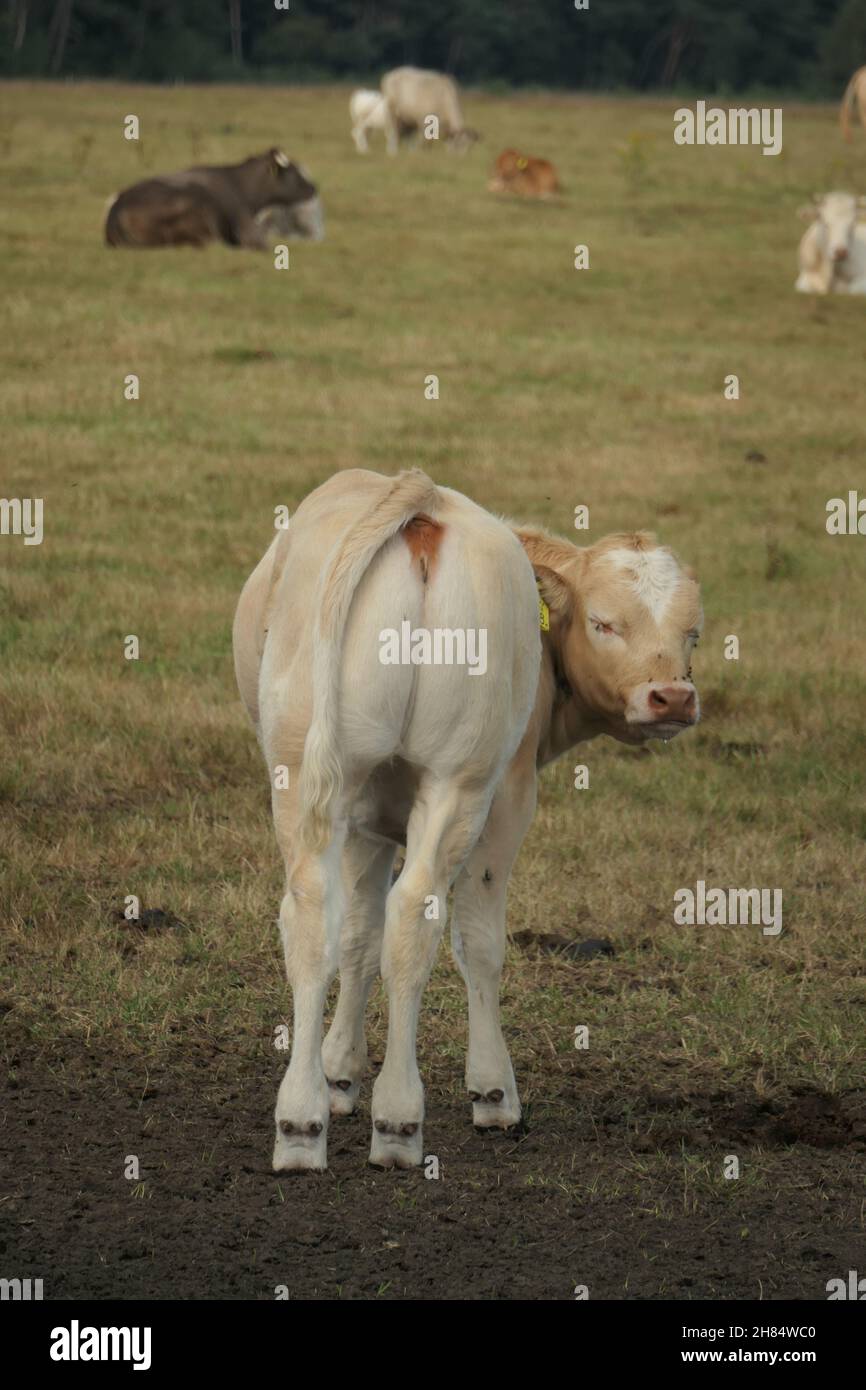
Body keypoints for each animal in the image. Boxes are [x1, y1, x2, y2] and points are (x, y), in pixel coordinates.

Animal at [233, 469, 703, 1172]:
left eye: (692, 633)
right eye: (603, 623)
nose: (671, 697)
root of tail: (422, 505)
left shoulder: (364, 818)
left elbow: (358, 936)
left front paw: (338, 1074)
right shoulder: (507, 799)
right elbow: (477, 943)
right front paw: (492, 1091)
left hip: (311, 777)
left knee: (313, 913)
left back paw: (299, 1123)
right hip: (461, 783)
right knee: (417, 917)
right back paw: (399, 1121)